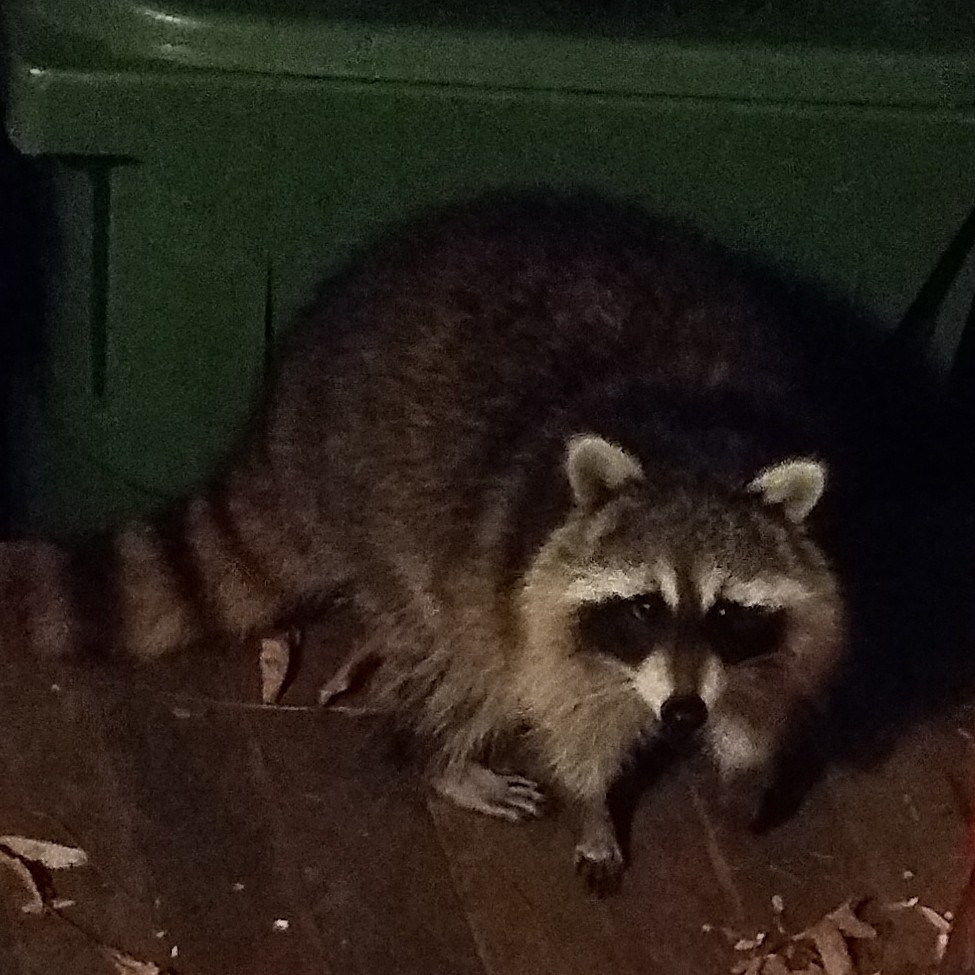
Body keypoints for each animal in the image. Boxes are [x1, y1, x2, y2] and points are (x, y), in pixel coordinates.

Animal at [4, 189, 848, 892]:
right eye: (642, 606)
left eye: (728, 613)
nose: (681, 715)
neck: (695, 446)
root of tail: (290, 397)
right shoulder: (529, 574)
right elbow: (561, 705)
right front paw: (592, 803)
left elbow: (774, 681)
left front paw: (745, 761)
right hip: (388, 512)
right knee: (461, 654)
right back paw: (439, 752)